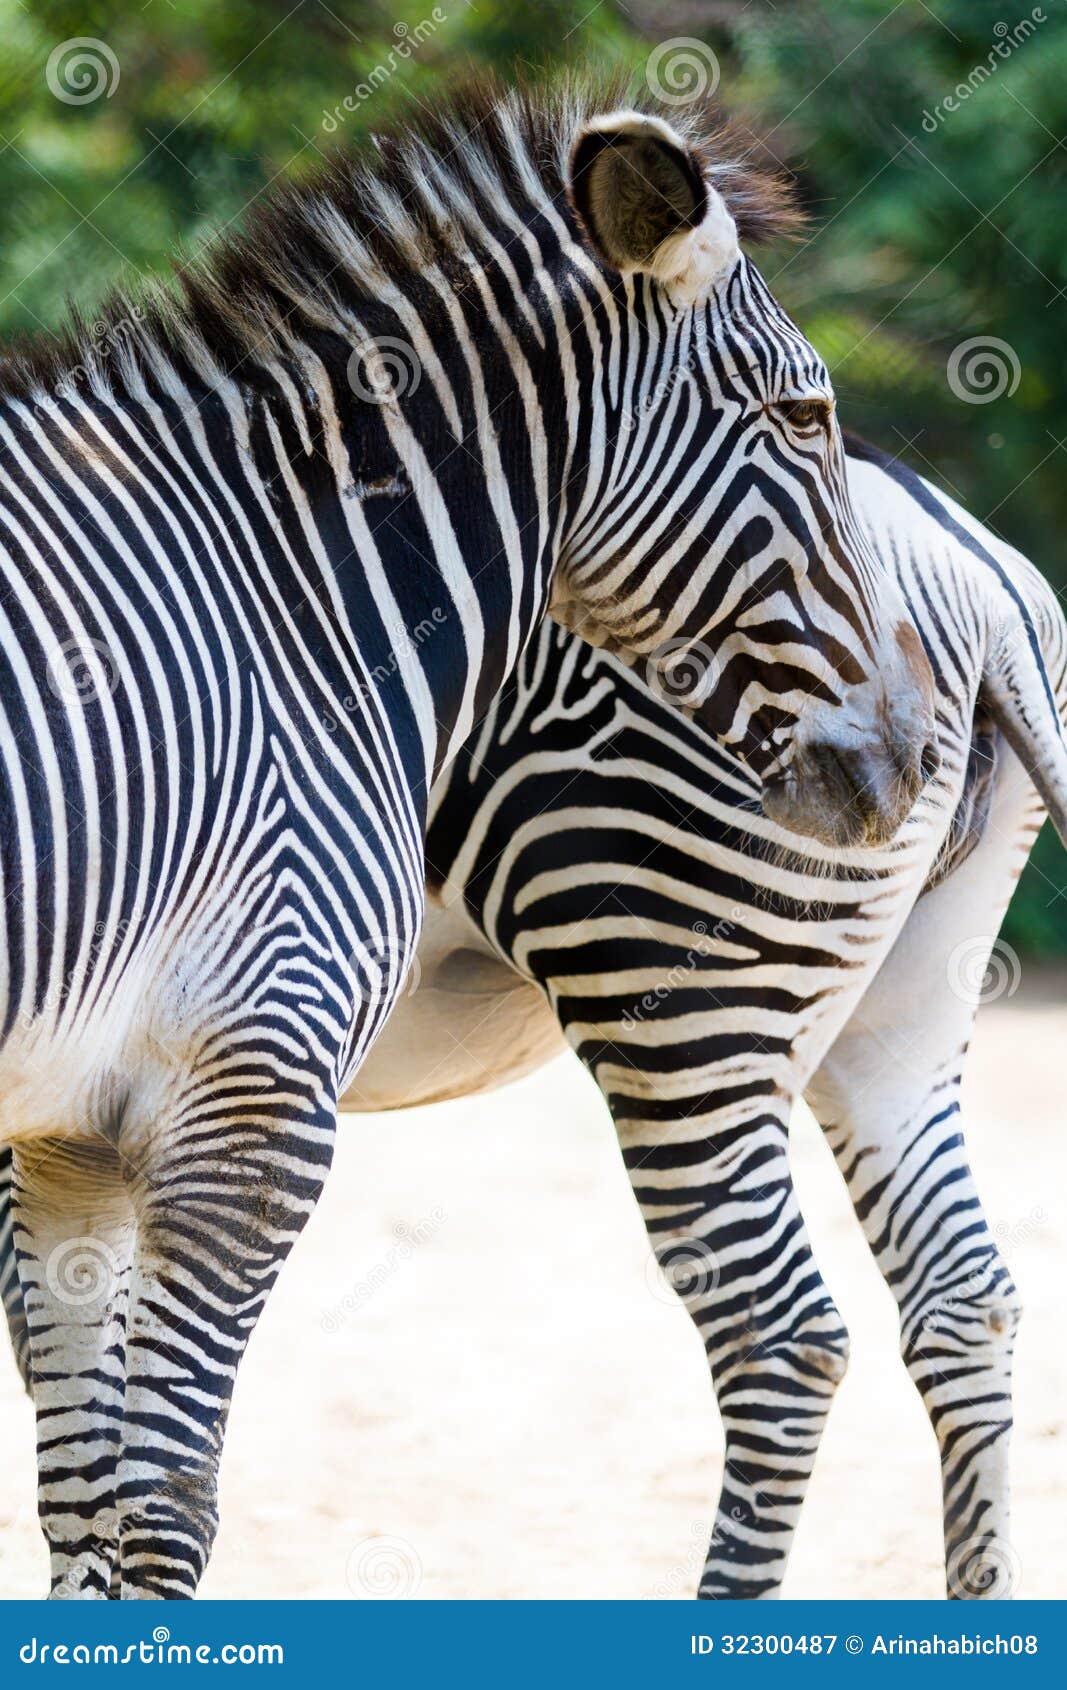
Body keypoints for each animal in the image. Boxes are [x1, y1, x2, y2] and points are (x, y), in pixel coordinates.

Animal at [0, 77, 937, 1599]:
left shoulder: (82, 1130)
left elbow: (93, 1506)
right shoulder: (243, 1088)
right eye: (803, 416)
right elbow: (148, 1510)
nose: (909, 762)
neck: (298, 599)